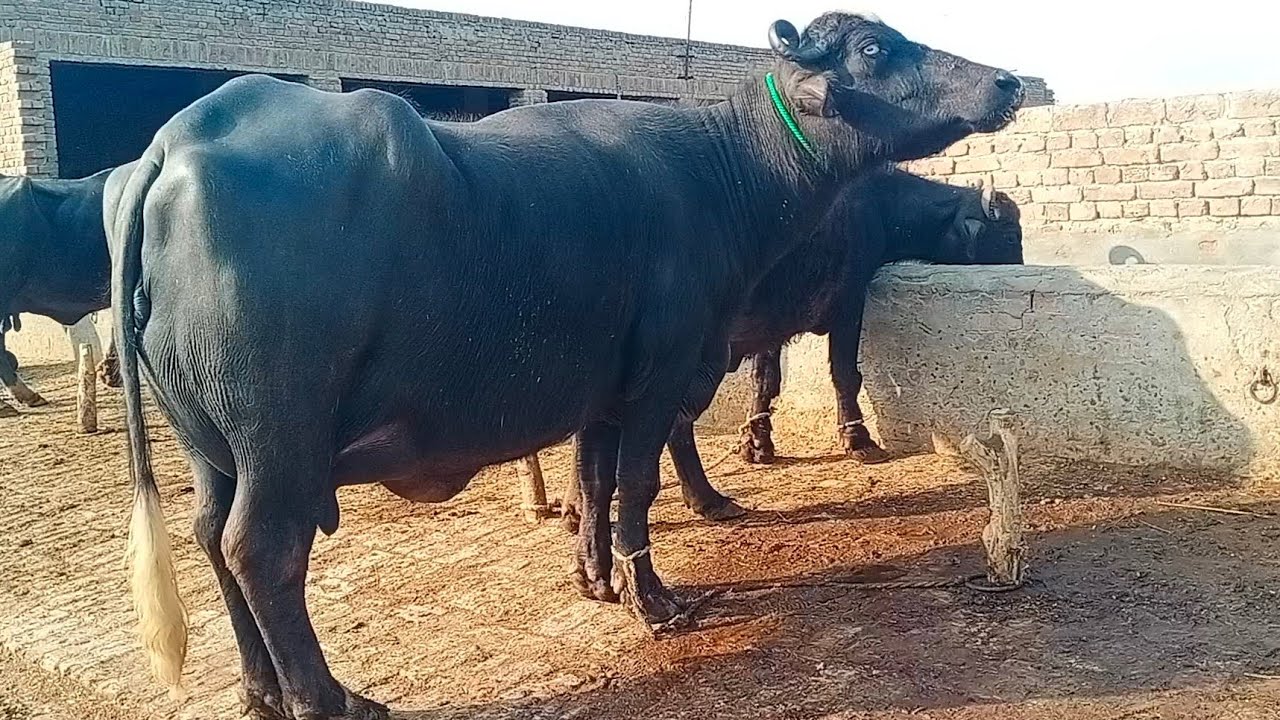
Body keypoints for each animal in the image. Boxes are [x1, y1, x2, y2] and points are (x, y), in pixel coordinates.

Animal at [110, 12, 1024, 718]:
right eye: (875, 48)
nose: (1009, 82)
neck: (719, 173)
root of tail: (171, 149)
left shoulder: (600, 392)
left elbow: (593, 480)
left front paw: (595, 578)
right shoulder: (662, 374)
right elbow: (638, 485)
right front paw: (653, 600)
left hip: (208, 444)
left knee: (208, 536)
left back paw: (260, 690)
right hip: (280, 440)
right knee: (264, 550)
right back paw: (327, 697)